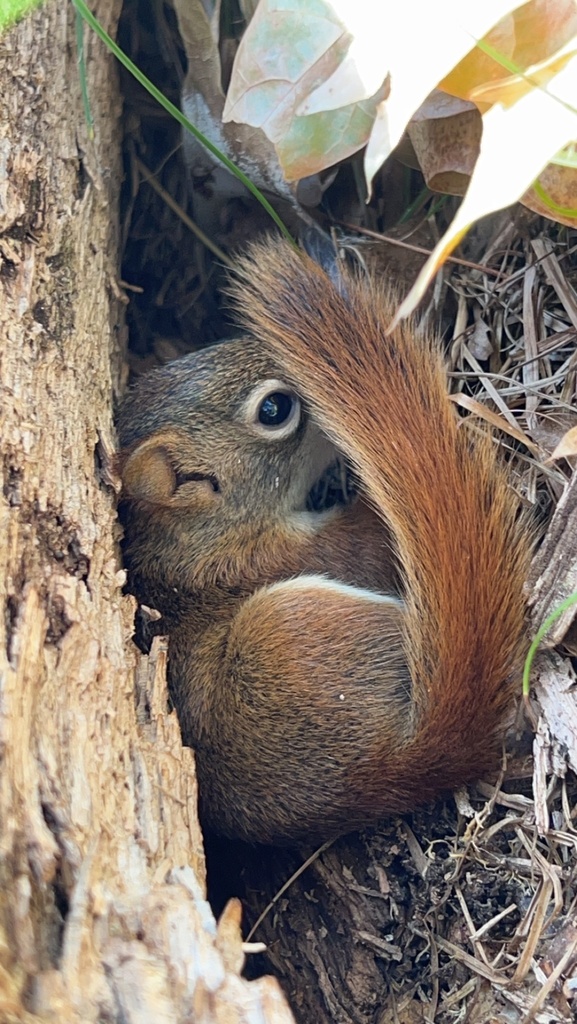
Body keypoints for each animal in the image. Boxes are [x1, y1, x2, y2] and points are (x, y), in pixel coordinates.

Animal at [117, 236, 533, 846]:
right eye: (275, 409)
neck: (193, 540)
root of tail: (395, 770)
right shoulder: (277, 557)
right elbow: (364, 546)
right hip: (288, 627)